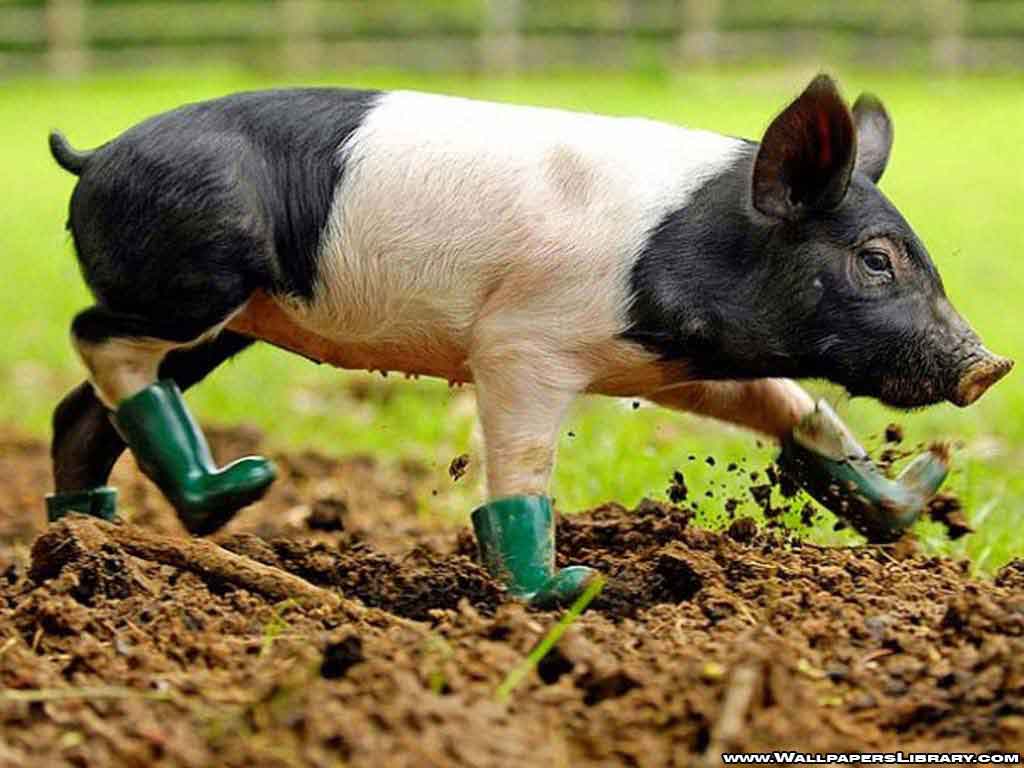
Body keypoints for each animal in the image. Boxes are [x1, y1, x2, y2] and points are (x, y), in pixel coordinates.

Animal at [47, 74, 1011, 606]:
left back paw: (102, 534)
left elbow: (792, 405)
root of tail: (94, 154)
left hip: (230, 319)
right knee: (95, 337)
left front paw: (918, 491)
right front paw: (570, 591)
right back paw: (235, 491)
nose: (989, 366)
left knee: (80, 410)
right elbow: (521, 475)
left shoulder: (673, 363)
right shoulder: (523, 345)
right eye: (876, 260)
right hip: (193, 279)